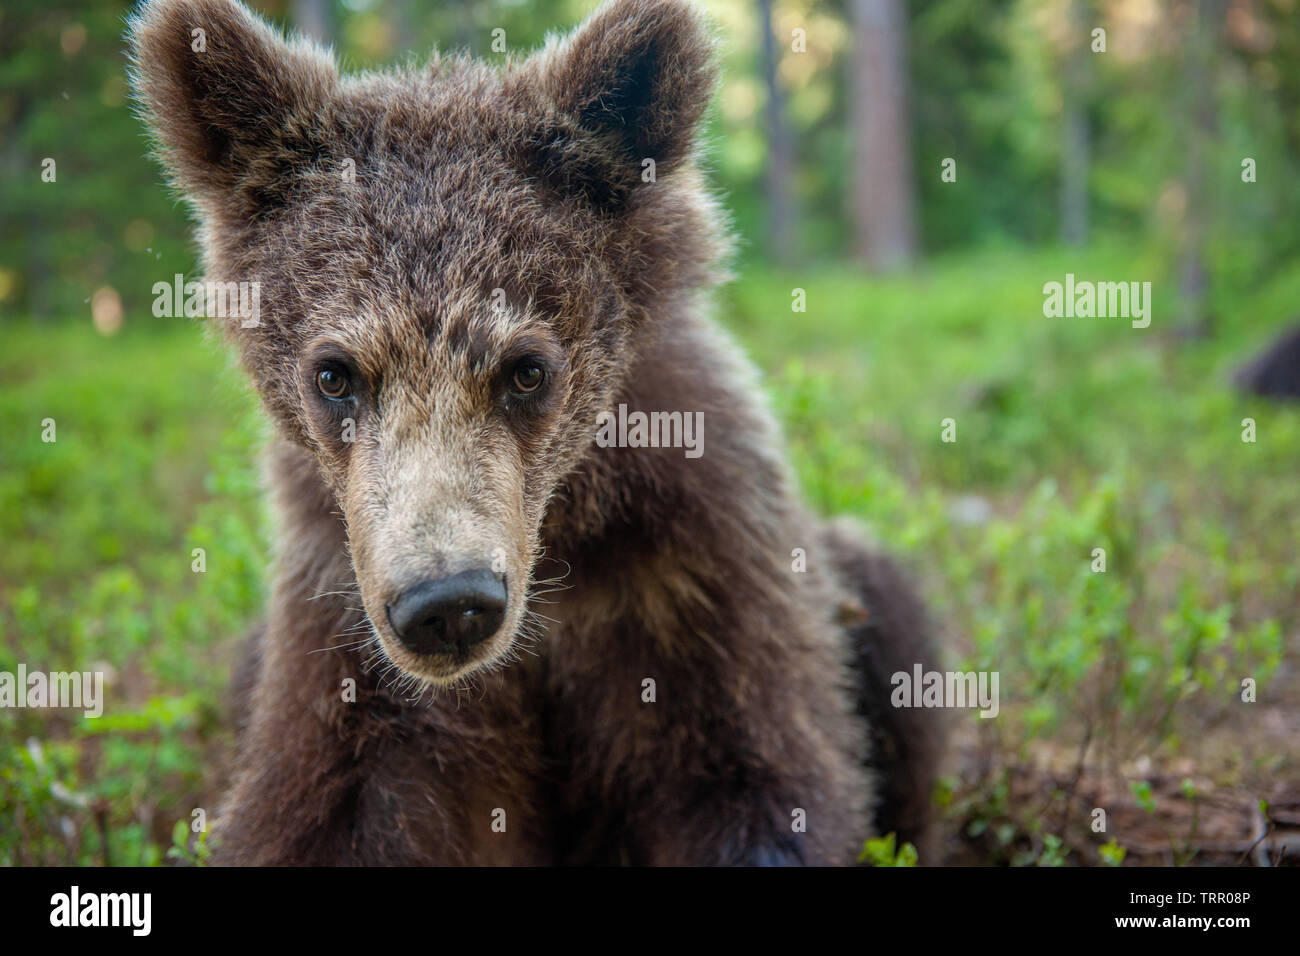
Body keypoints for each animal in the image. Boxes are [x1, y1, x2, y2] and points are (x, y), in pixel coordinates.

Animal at [128, 0, 945, 865]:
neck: (562, 530)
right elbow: (334, 803)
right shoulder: (341, 604)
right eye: (335, 373)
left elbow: (754, 771)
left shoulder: (692, 563)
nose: (448, 601)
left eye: (525, 368)